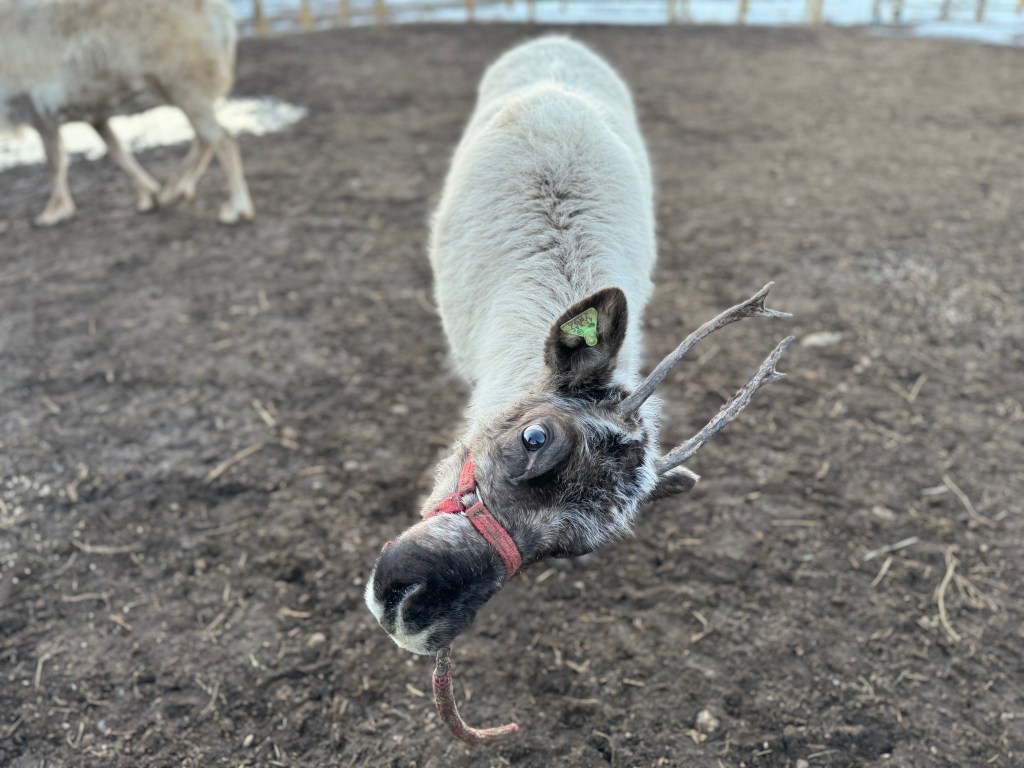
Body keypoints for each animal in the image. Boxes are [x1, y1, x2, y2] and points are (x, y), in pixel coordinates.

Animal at [0, 0, 254, 226]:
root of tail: (220, 12)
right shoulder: (94, 115)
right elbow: (118, 153)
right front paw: (150, 195)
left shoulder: (36, 107)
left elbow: (54, 163)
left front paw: (54, 212)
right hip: (185, 95)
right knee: (205, 139)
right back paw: (173, 190)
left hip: (186, 89)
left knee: (223, 140)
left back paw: (237, 209)